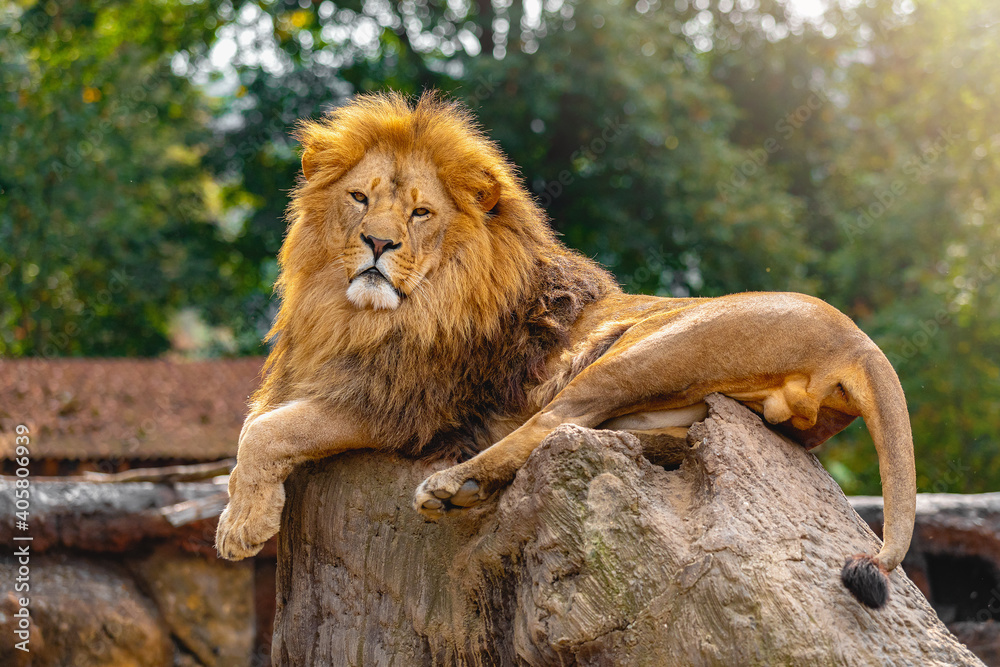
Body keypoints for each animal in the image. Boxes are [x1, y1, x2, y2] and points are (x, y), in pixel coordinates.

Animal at [215, 91, 915, 610]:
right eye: (359, 197)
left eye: (419, 213)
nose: (377, 243)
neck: (354, 315)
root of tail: (860, 341)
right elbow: (256, 427)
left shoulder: (399, 406)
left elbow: (266, 432)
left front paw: (240, 527)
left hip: (646, 346)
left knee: (555, 420)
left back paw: (454, 485)